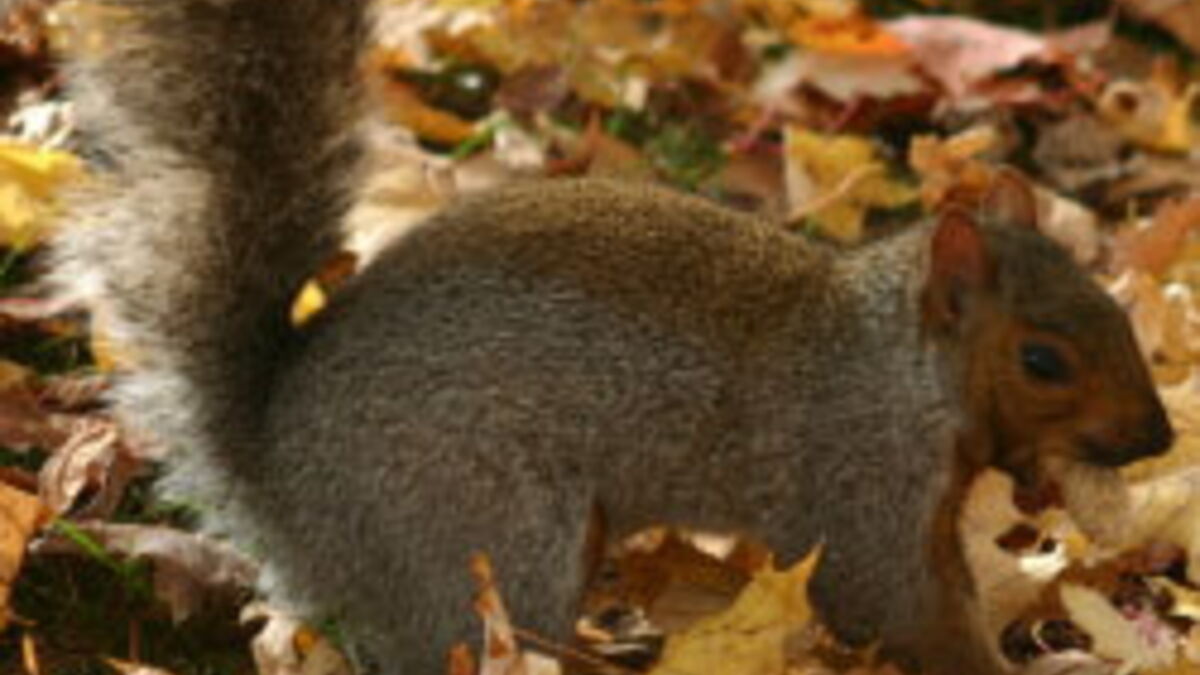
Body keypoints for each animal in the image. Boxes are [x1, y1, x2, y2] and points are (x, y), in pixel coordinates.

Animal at [52, 0, 1174, 673]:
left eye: (1119, 310)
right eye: (1042, 359)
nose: (1160, 440)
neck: (896, 371)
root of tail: (279, 489)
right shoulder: (857, 492)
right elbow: (895, 603)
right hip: (486, 526)